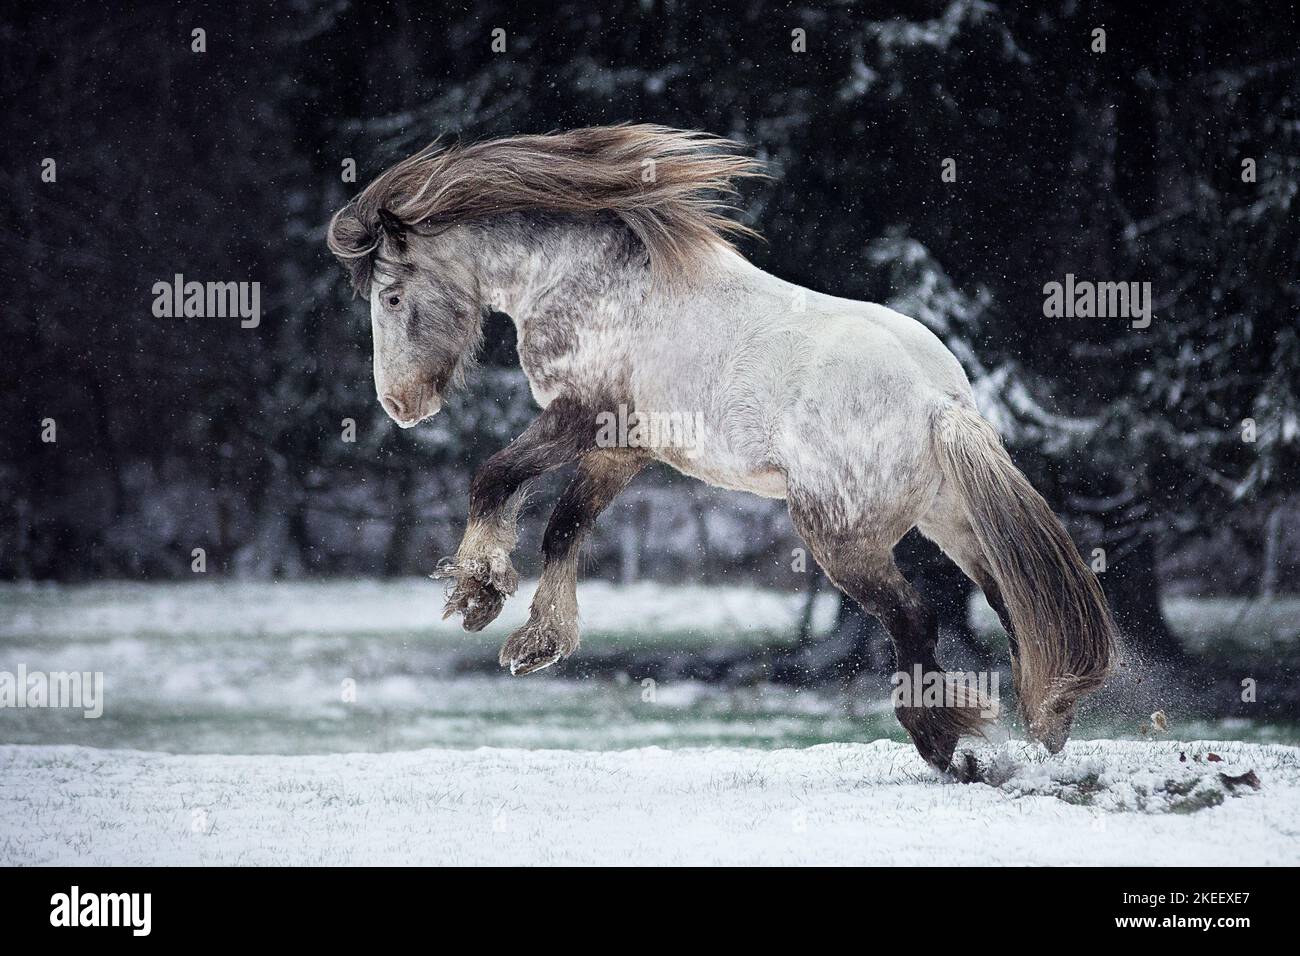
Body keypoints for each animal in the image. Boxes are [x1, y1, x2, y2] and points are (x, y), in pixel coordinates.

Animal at [327, 124, 1116, 771]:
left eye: (391, 298)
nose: (401, 406)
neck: (588, 278)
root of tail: (940, 402)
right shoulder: (622, 448)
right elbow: (563, 527)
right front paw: (537, 642)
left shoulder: (580, 415)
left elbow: (493, 478)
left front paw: (477, 592)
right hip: (948, 522)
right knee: (1010, 603)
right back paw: (1044, 726)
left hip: (842, 540)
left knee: (915, 618)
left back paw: (945, 742)